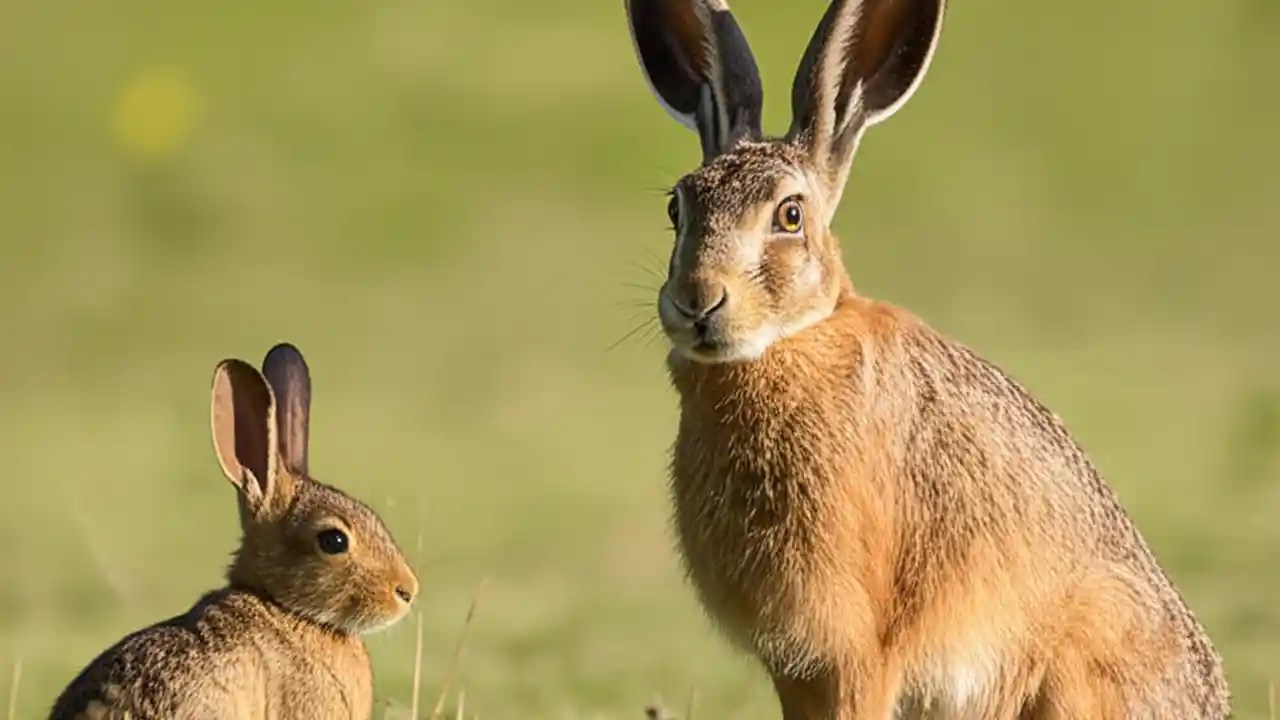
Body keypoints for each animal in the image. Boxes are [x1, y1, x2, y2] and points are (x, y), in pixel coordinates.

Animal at [624, 0, 1231, 717]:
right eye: (676, 208)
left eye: (790, 216)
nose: (697, 300)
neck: (791, 340)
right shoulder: (795, 663)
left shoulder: (863, 647)